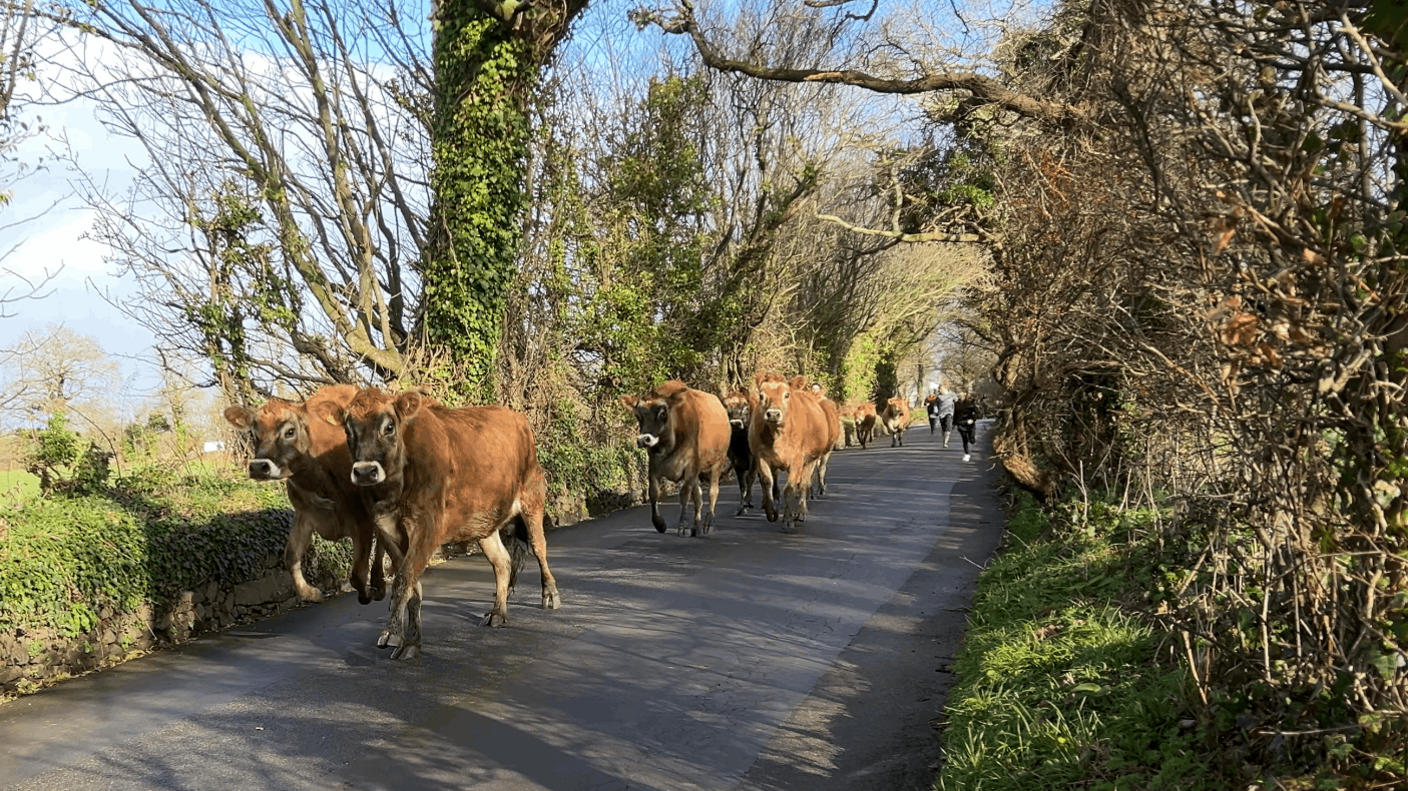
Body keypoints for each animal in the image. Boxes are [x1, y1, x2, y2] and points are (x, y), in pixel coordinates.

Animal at [223, 385, 386, 606]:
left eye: (290, 431)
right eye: (254, 433)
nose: (258, 467)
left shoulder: (362, 520)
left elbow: (358, 574)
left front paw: (367, 593)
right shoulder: (306, 514)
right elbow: (290, 555)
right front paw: (309, 593)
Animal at [319, 388, 560, 660]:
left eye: (389, 427)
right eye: (348, 430)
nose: (364, 471)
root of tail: (518, 418)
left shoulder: (427, 526)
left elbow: (403, 579)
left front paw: (392, 633)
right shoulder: (386, 528)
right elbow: (412, 585)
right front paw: (412, 641)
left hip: (532, 499)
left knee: (539, 548)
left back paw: (550, 594)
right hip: (483, 522)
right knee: (502, 562)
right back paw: (498, 612)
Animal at [621, 380, 732, 536]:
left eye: (663, 413)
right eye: (638, 416)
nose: (644, 439)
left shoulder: (691, 466)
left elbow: (684, 495)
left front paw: (682, 526)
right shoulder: (654, 467)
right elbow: (653, 493)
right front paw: (659, 523)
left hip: (717, 463)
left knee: (713, 493)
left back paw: (709, 524)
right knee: (698, 498)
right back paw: (696, 526)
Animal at [750, 373, 834, 534]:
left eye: (786, 394)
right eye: (761, 395)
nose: (773, 414)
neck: (777, 435)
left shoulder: (796, 461)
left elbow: (789, 489)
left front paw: (788, 520)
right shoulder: (761, 457)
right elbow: (768, 483)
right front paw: (771, 512)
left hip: (811, 460)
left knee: (804, 484)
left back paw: (800, 511)